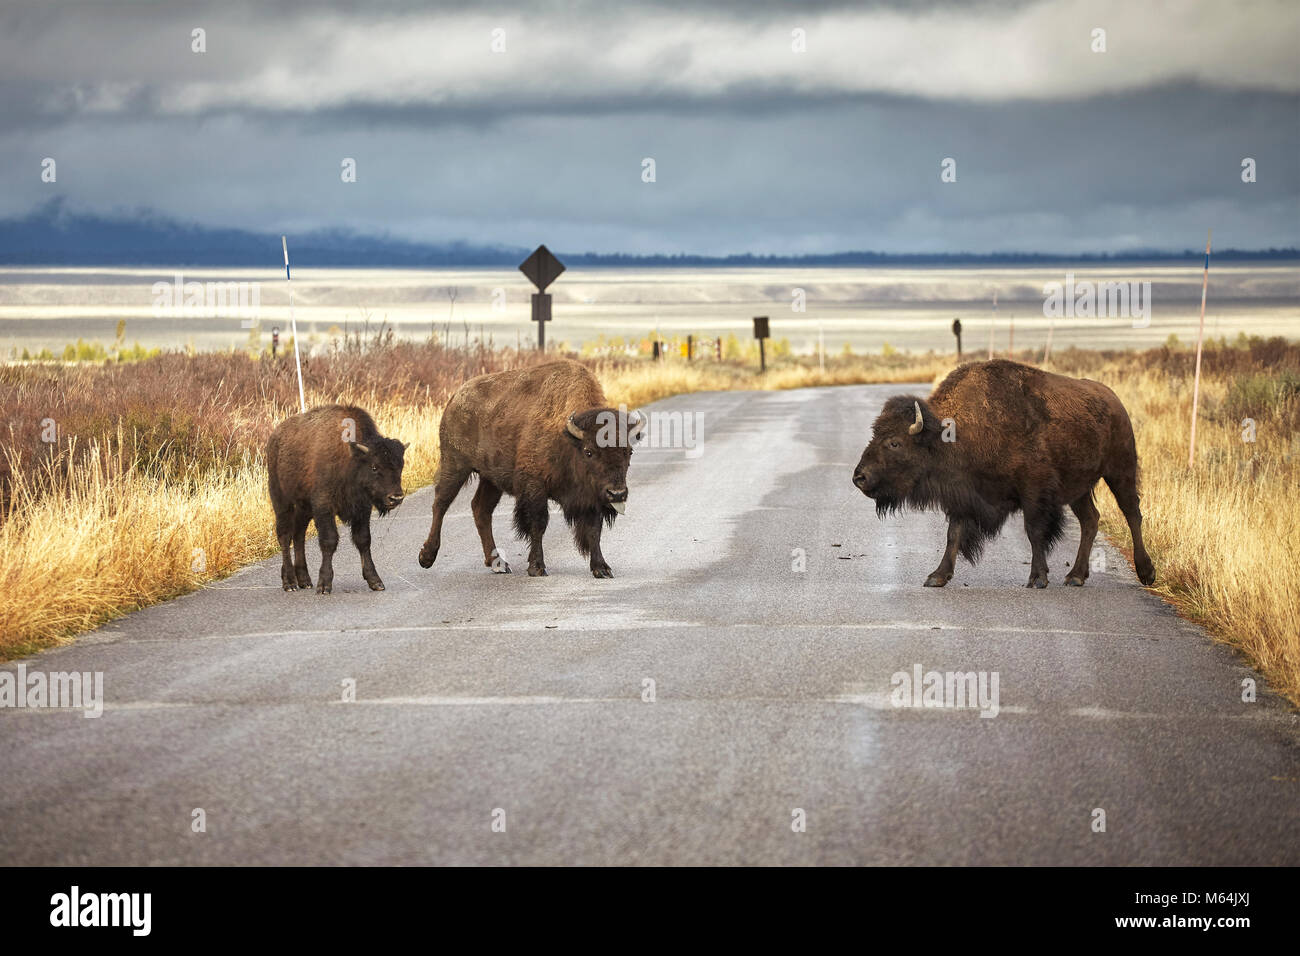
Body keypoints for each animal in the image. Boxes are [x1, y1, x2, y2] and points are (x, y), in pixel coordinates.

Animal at [267, 405, 407, 594]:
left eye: (401, 466)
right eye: (374, 467)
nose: (396, 497)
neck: (352, 458)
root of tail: (274, 437)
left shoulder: (362, 509)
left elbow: (363, 540)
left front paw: (375, 581)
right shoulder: (324, 506)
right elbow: (329, 540)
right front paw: (324, 585)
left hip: (304, 508)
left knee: (298, 535)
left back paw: (304, 580)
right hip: (282, 501)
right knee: (284, 535)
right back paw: (289, 582)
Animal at [417, 360, 643, 578]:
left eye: (629, 451)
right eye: (589, 452)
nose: (617, 493)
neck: (568, 440)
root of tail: (455, 398)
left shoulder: (592, 498)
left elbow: (593, 530)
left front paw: (602, 569)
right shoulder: (535, 488)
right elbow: (538, 524)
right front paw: (537, 567)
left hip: (490, 480)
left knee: (481, 509)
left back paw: (498, 563)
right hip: (455, 465)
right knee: (441, 503)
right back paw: (426, 557)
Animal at [852, 359, 1155, 589]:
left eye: (894, 442)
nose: (859, 478)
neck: (949, 434)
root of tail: (1114, 400)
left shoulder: (1034, 491)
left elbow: (1034, 531)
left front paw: (1037, 578)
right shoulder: (964, 496)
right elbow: (953, 534)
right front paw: (937, 577)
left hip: (1120, 470)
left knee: (1132, 513)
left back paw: (1146, 572)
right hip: (1078, 488)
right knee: (1090, 520)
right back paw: (1076, 576)